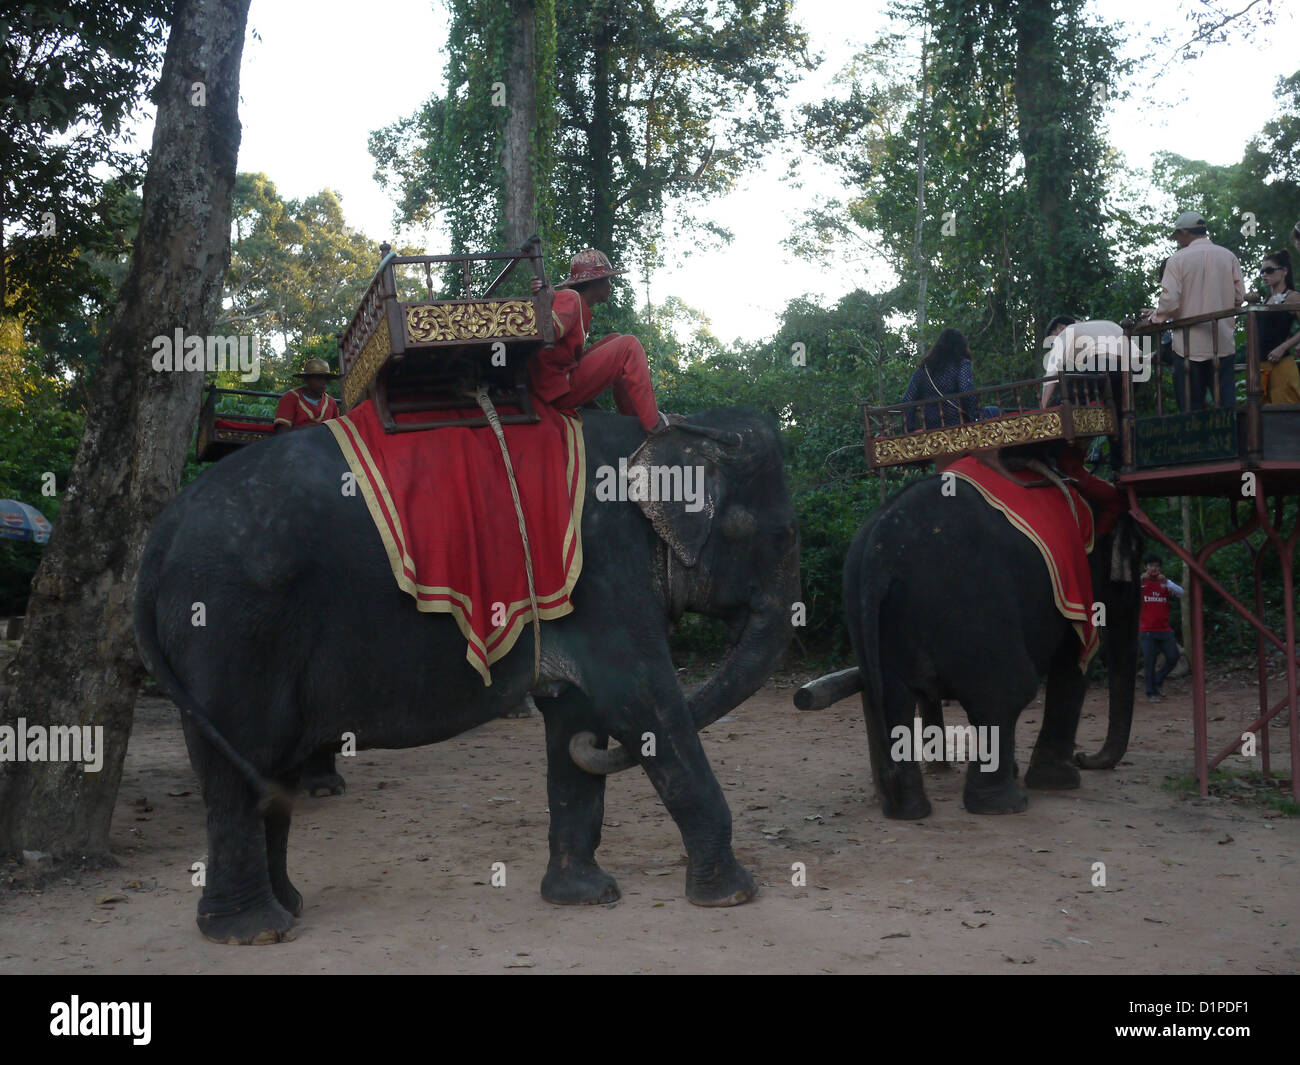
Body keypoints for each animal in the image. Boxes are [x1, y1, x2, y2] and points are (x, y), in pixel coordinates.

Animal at [134, 407, 800, 944]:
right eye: (779, 533)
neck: (670, 428)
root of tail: (160, 535)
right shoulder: (606, 576)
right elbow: (642, 702)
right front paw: (734, 895)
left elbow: (575, 718)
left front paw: (584, 897)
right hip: (227, 626)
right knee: (241, 762)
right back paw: (254, 932)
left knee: (268, 766)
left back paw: (286, 909)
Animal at [841, 469, 1142, 820]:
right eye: (1135, 560)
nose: (1085, 758)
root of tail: (879, 551)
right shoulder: (1080, 578)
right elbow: (1074, 660)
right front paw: (1061, 781)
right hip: (972, 603)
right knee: (1007, 693)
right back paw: (1005, 805)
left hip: (868, 614)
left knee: (894, 700)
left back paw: (909, 811)